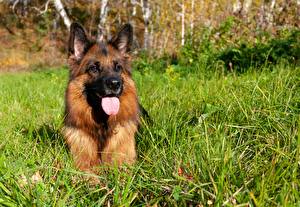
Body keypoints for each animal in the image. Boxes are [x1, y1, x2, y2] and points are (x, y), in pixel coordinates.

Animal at [63, 22, 141, 173]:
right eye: (93, 68)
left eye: (118, 67)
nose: (115, 83)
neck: (102, 125)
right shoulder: (82, 163)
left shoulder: (124, 162)